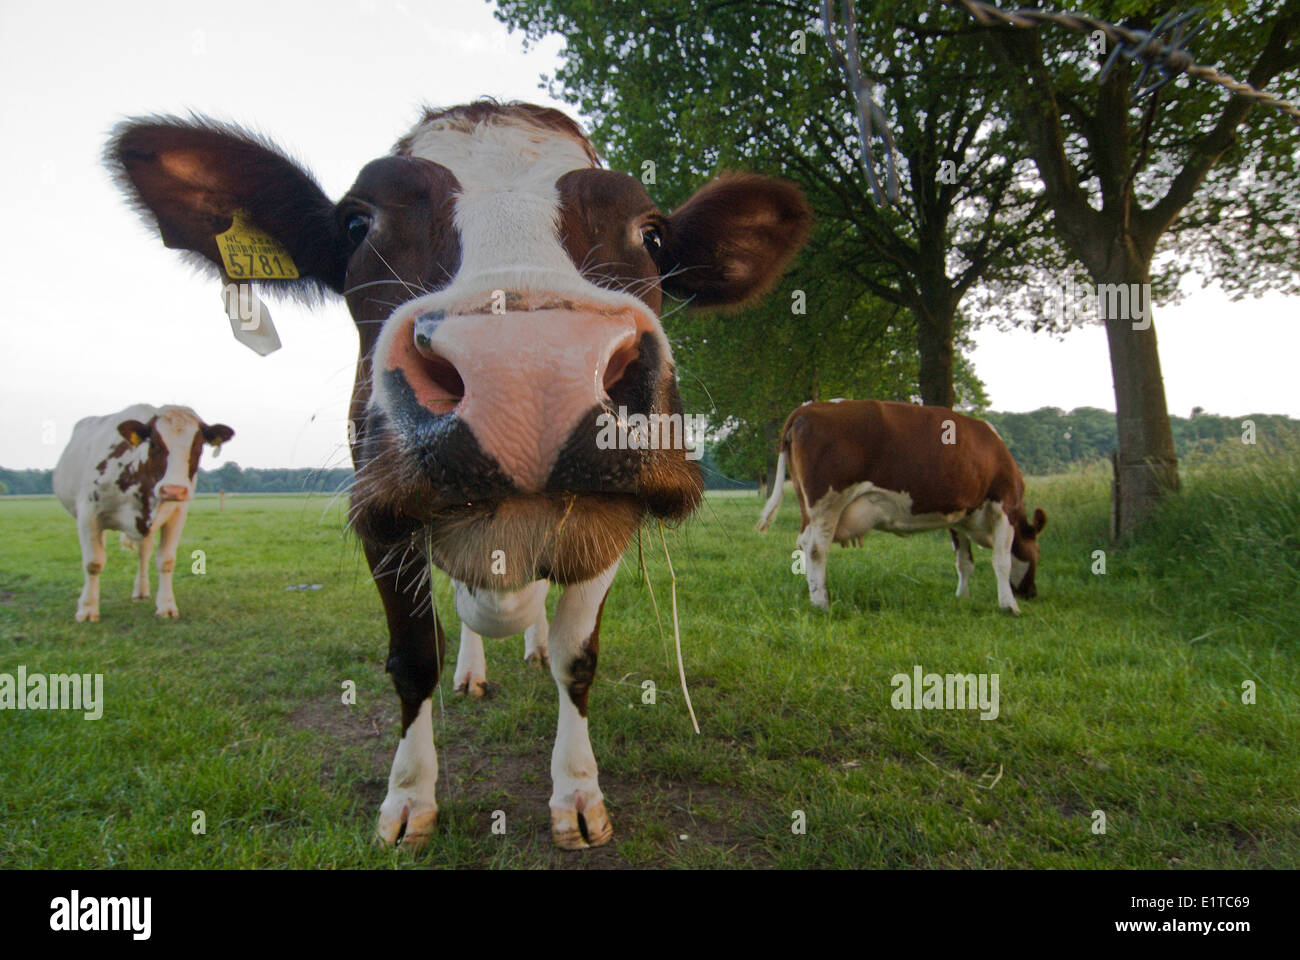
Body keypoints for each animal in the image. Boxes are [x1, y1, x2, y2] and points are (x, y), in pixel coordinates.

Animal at [53, 404, 234, 622]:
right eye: (154, 443)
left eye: (198, 446)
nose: (173, 490)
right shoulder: (89, 514)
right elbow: (93, 562)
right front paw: (87, 608)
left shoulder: (176, 515)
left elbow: (166, 560)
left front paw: (166, 605)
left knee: (144, 552)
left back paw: (141, 590)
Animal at [106, 100, 809, 849]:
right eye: (357, 223)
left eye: (649, 233)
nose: (528, 368)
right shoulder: (380, 524)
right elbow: (415, 657)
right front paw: (409, 799)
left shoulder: (608, 529)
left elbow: (576, 658)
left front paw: (577, 793)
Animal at [756, 400, 1046, 613]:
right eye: (1037, 555)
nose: (1033, 593)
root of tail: (808, 407)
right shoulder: (1005, 505)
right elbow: (1002, 561)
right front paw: (1009, 606)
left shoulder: (958, 516)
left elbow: (964, 562)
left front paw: (962, 597)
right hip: (827, 503)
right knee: (817, 548)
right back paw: (821, 603)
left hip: (809, 507)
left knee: (804, 543)